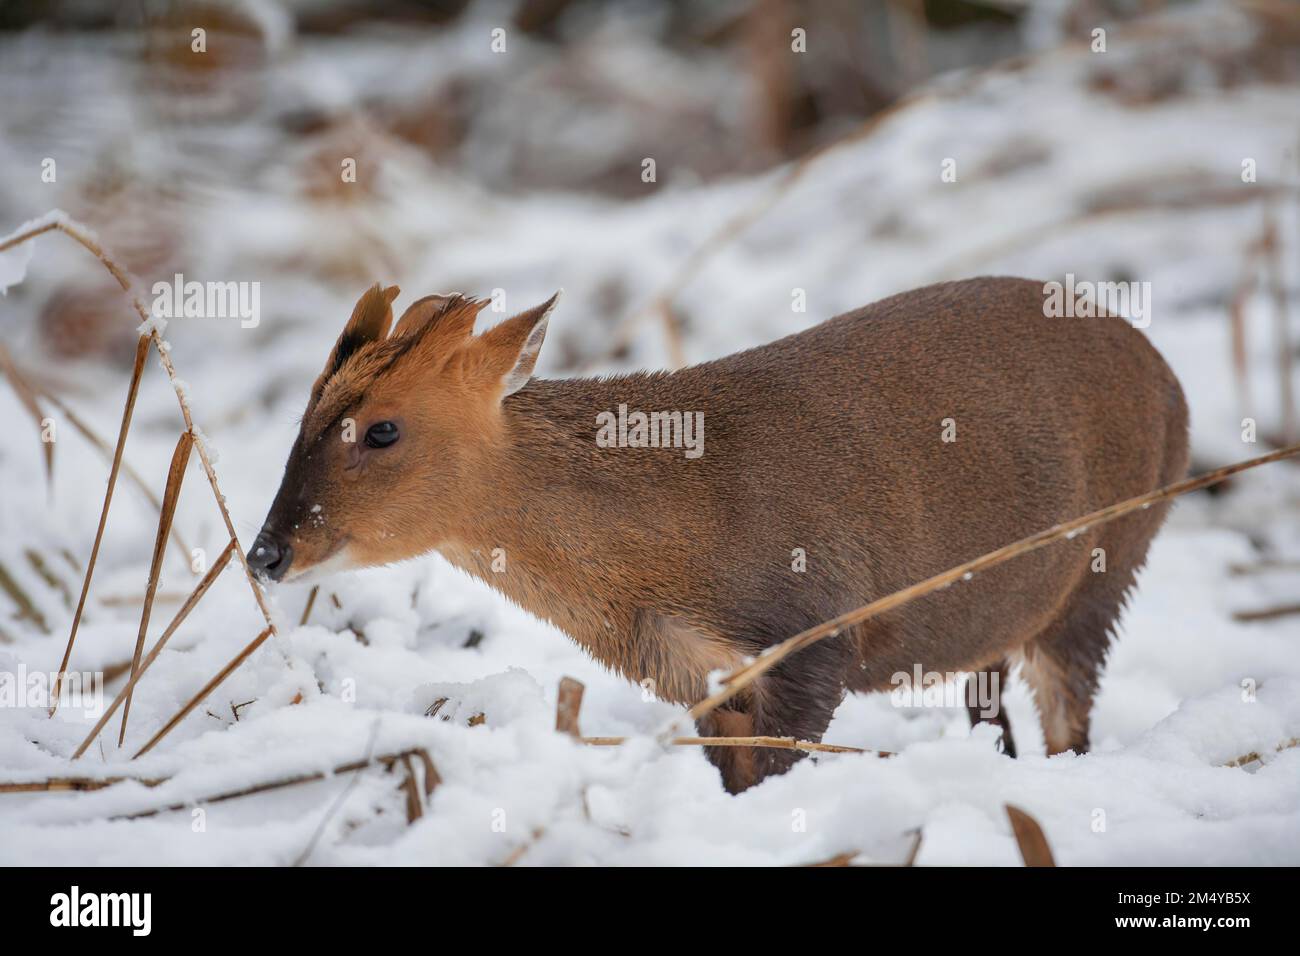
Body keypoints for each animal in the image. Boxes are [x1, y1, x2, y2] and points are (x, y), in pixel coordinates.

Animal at [248, 277, 1188, 793]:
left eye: (382, 429)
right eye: (303, 416)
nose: (264, 554)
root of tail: (1169, 377)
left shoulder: (816, 631)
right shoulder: (696, 675)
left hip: (1113, 555)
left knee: (1069, 716)